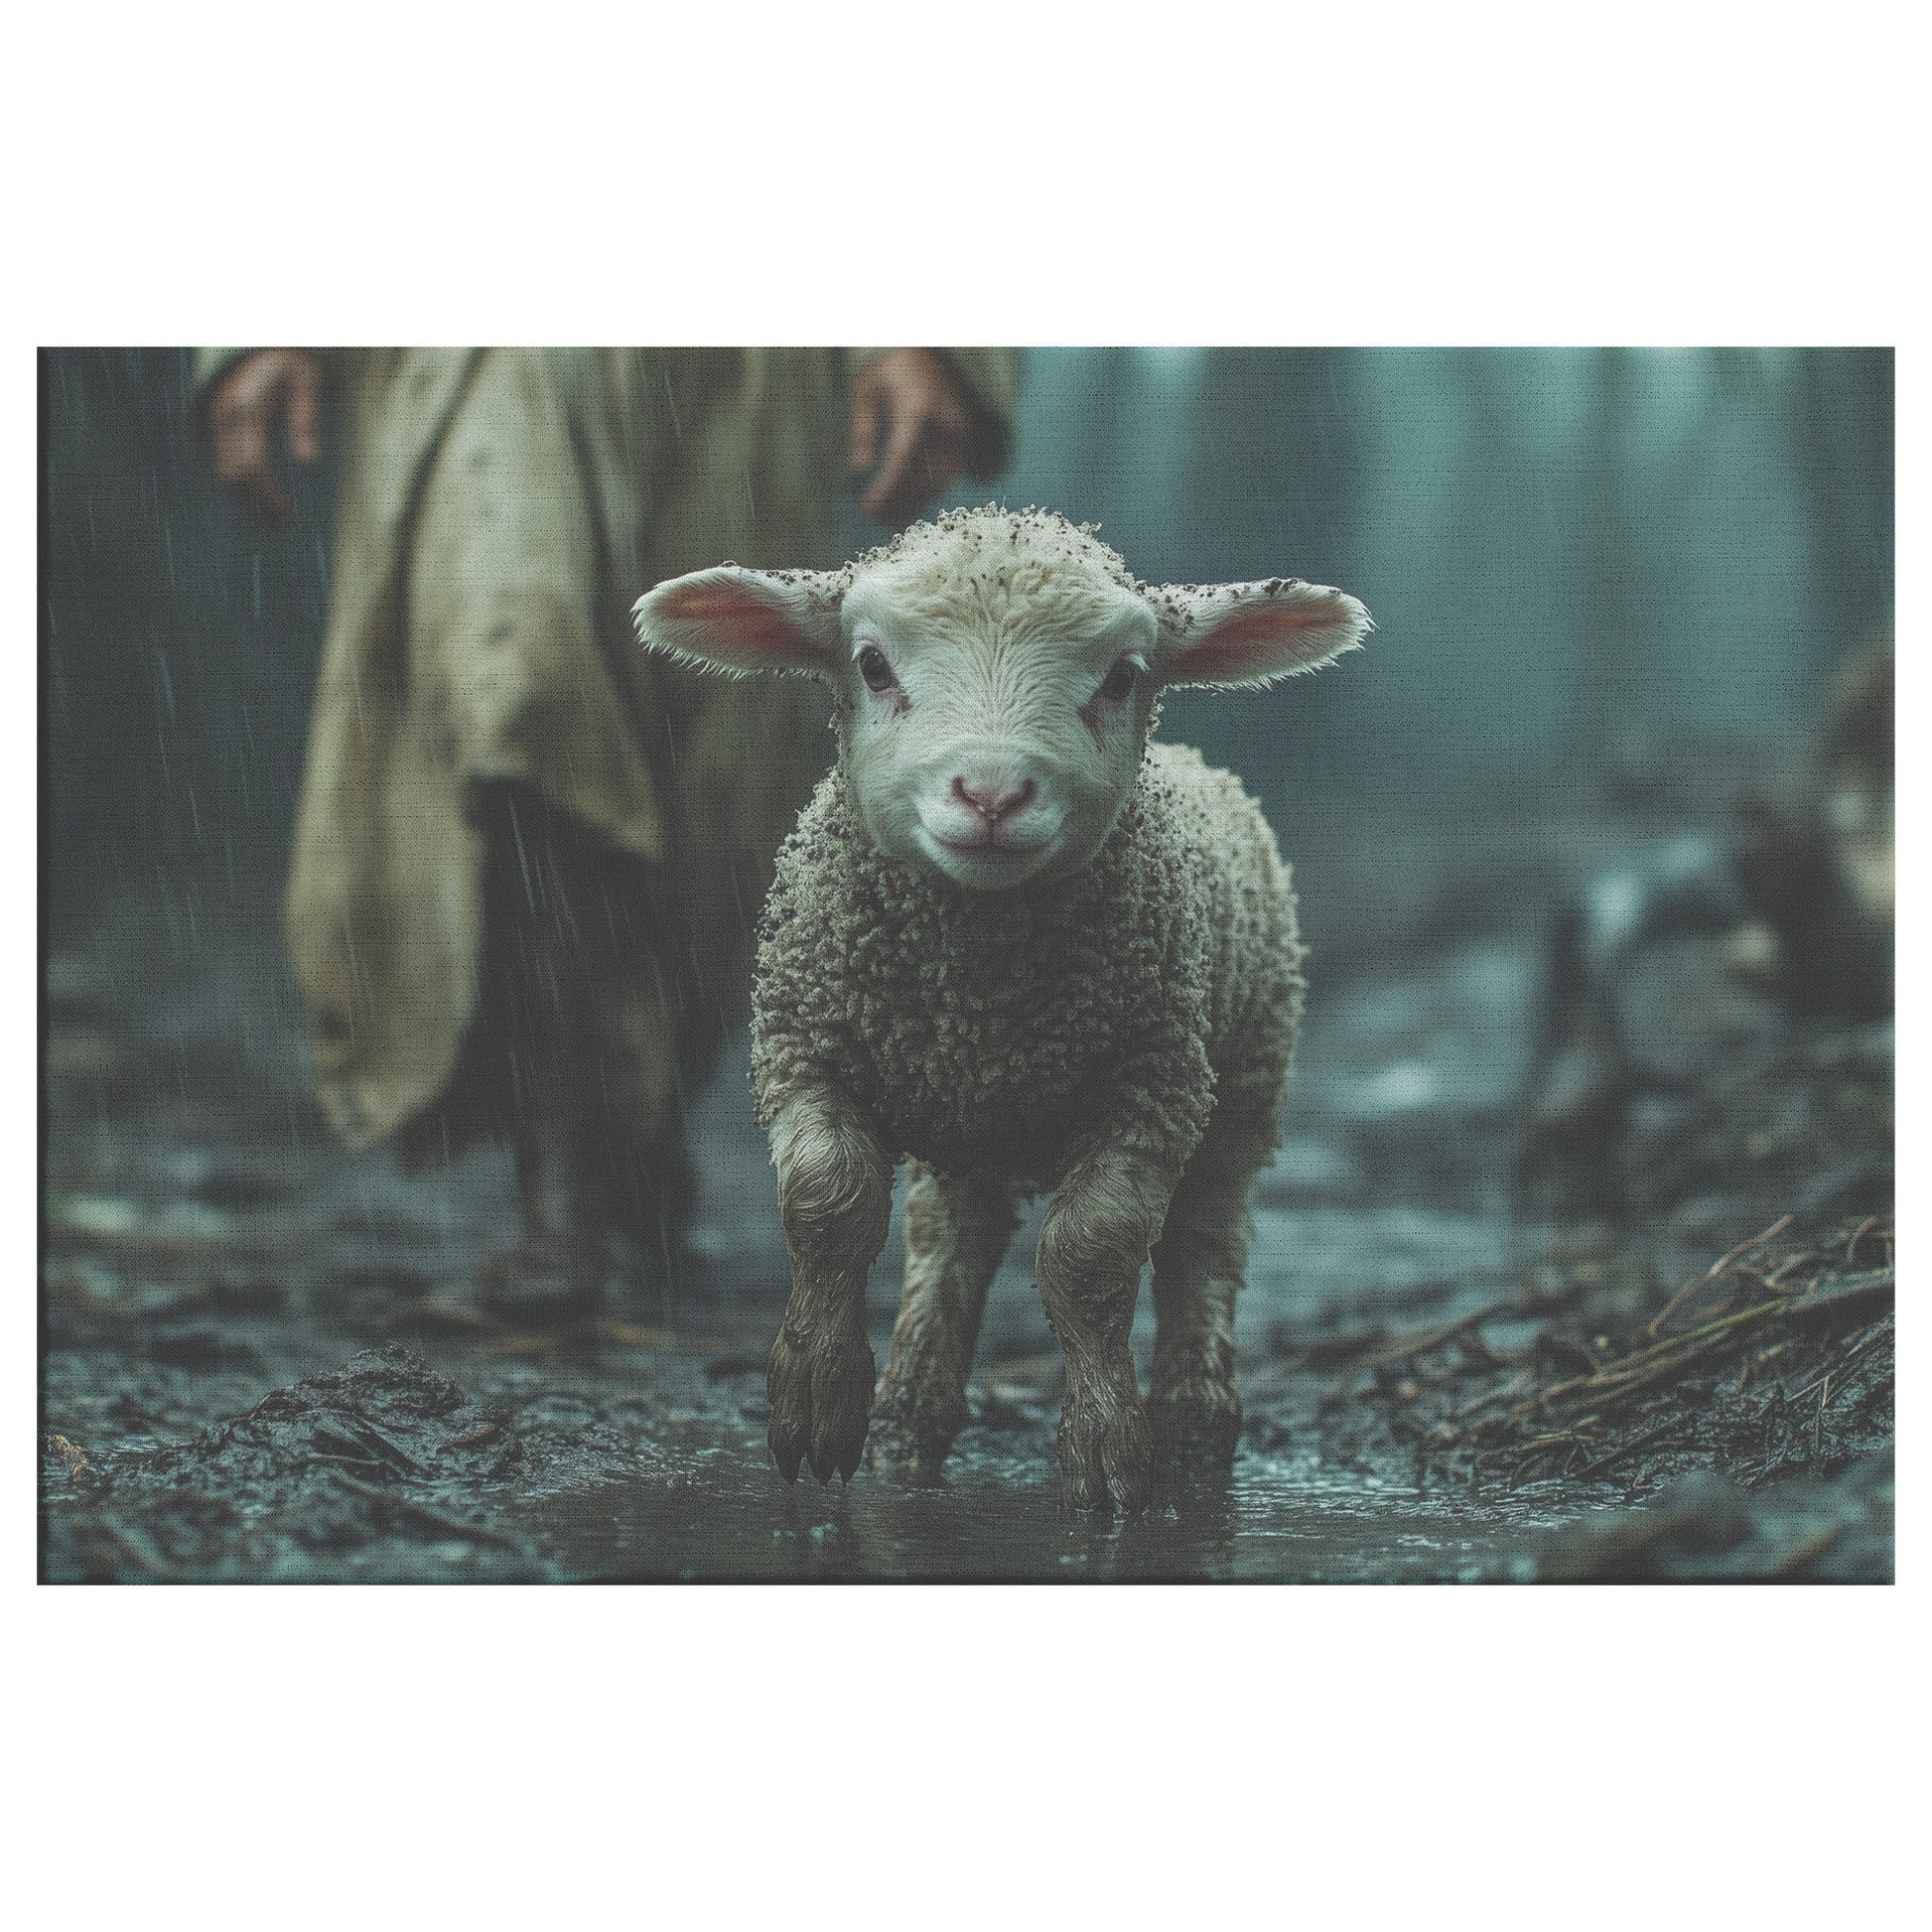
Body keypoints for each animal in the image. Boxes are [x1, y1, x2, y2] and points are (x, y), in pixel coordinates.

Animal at [633, 506, 1371, 1512]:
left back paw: (1192, 1425)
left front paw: (1107, 1449)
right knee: (955, 1241)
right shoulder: (801, 1045)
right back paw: (909, 1421)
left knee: (1204, 1241)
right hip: (969, 1135)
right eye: (872, 664)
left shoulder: (1152, 1087)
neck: (979, 994)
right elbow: (828, 1198)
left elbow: (1091, 1255)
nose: (990, 794)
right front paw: (818, 1399)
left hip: (1248, 1076)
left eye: (1123, 676)